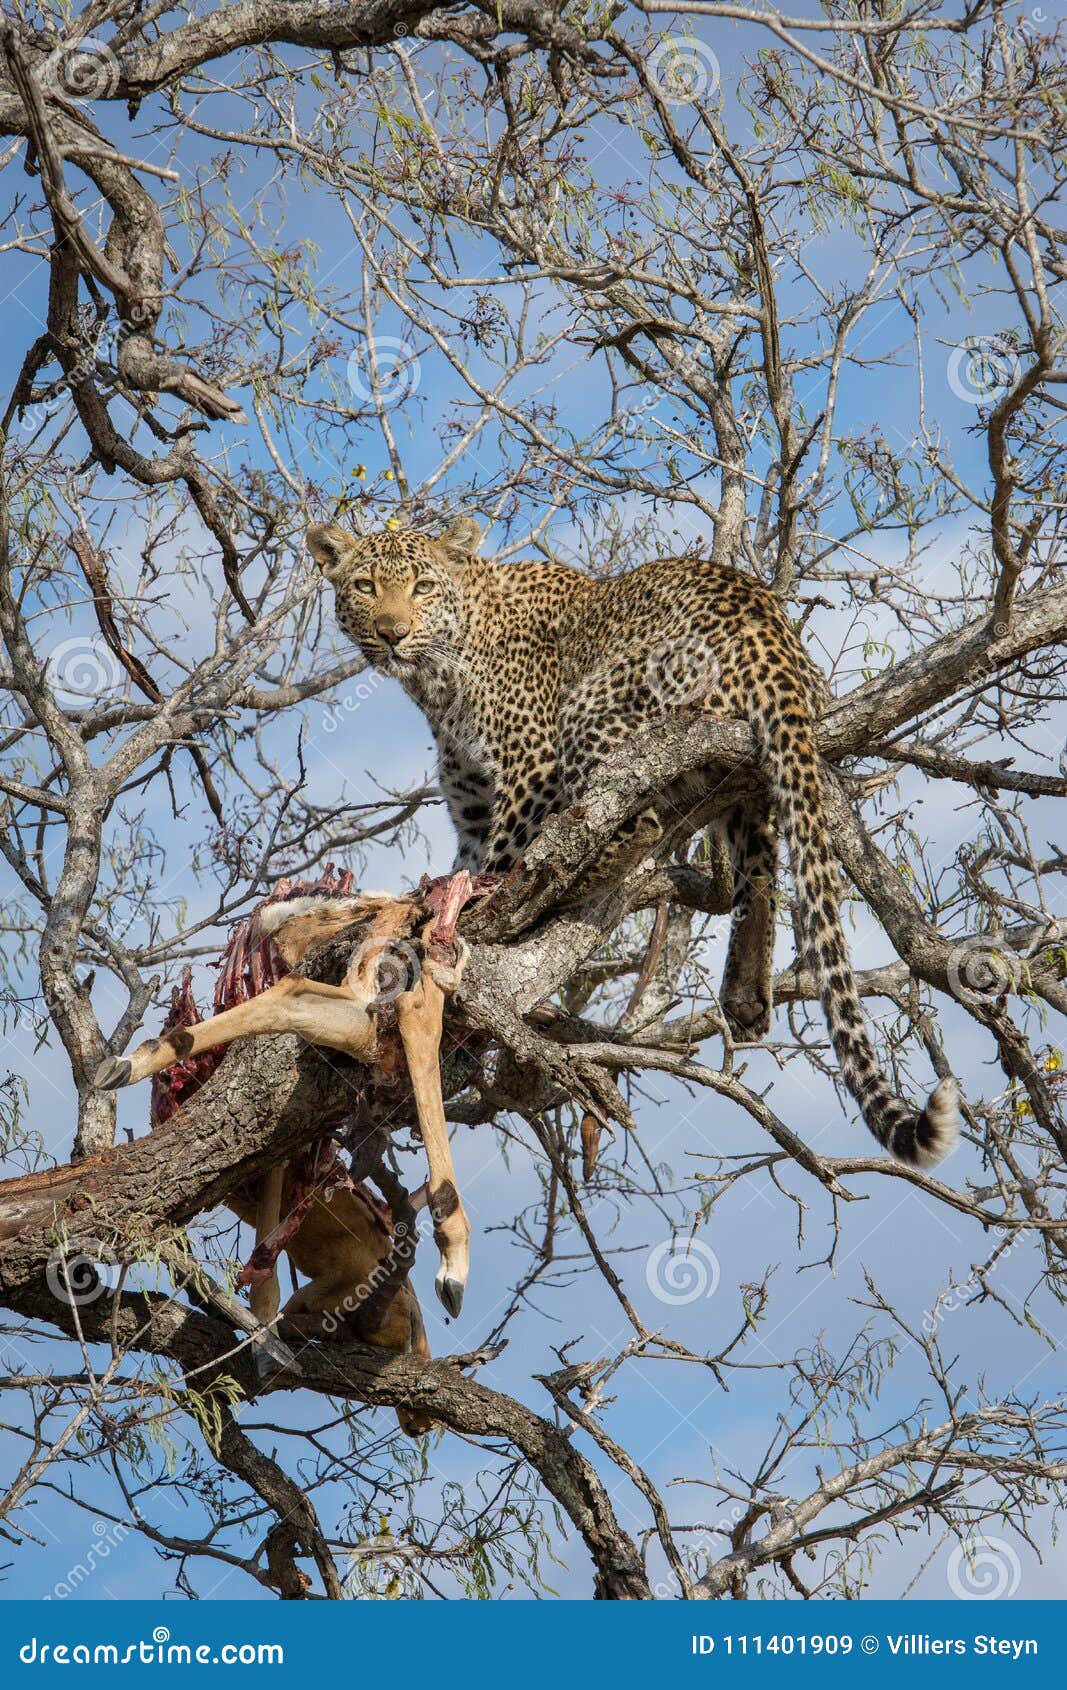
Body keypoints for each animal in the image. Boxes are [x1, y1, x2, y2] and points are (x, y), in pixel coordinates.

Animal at [307, 515, 958, 1169]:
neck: (437, 680)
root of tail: (769, 631)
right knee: (759, 856)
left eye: (421, 588)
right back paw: (746, 993)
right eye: (365, 586)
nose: (392, 634)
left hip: (594, 707)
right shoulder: (472, 811)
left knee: (628, 824)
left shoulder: (528, 770)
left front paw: (480, 930)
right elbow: (465, 867)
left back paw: (556, 893)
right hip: (742, 768)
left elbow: (501, 861)